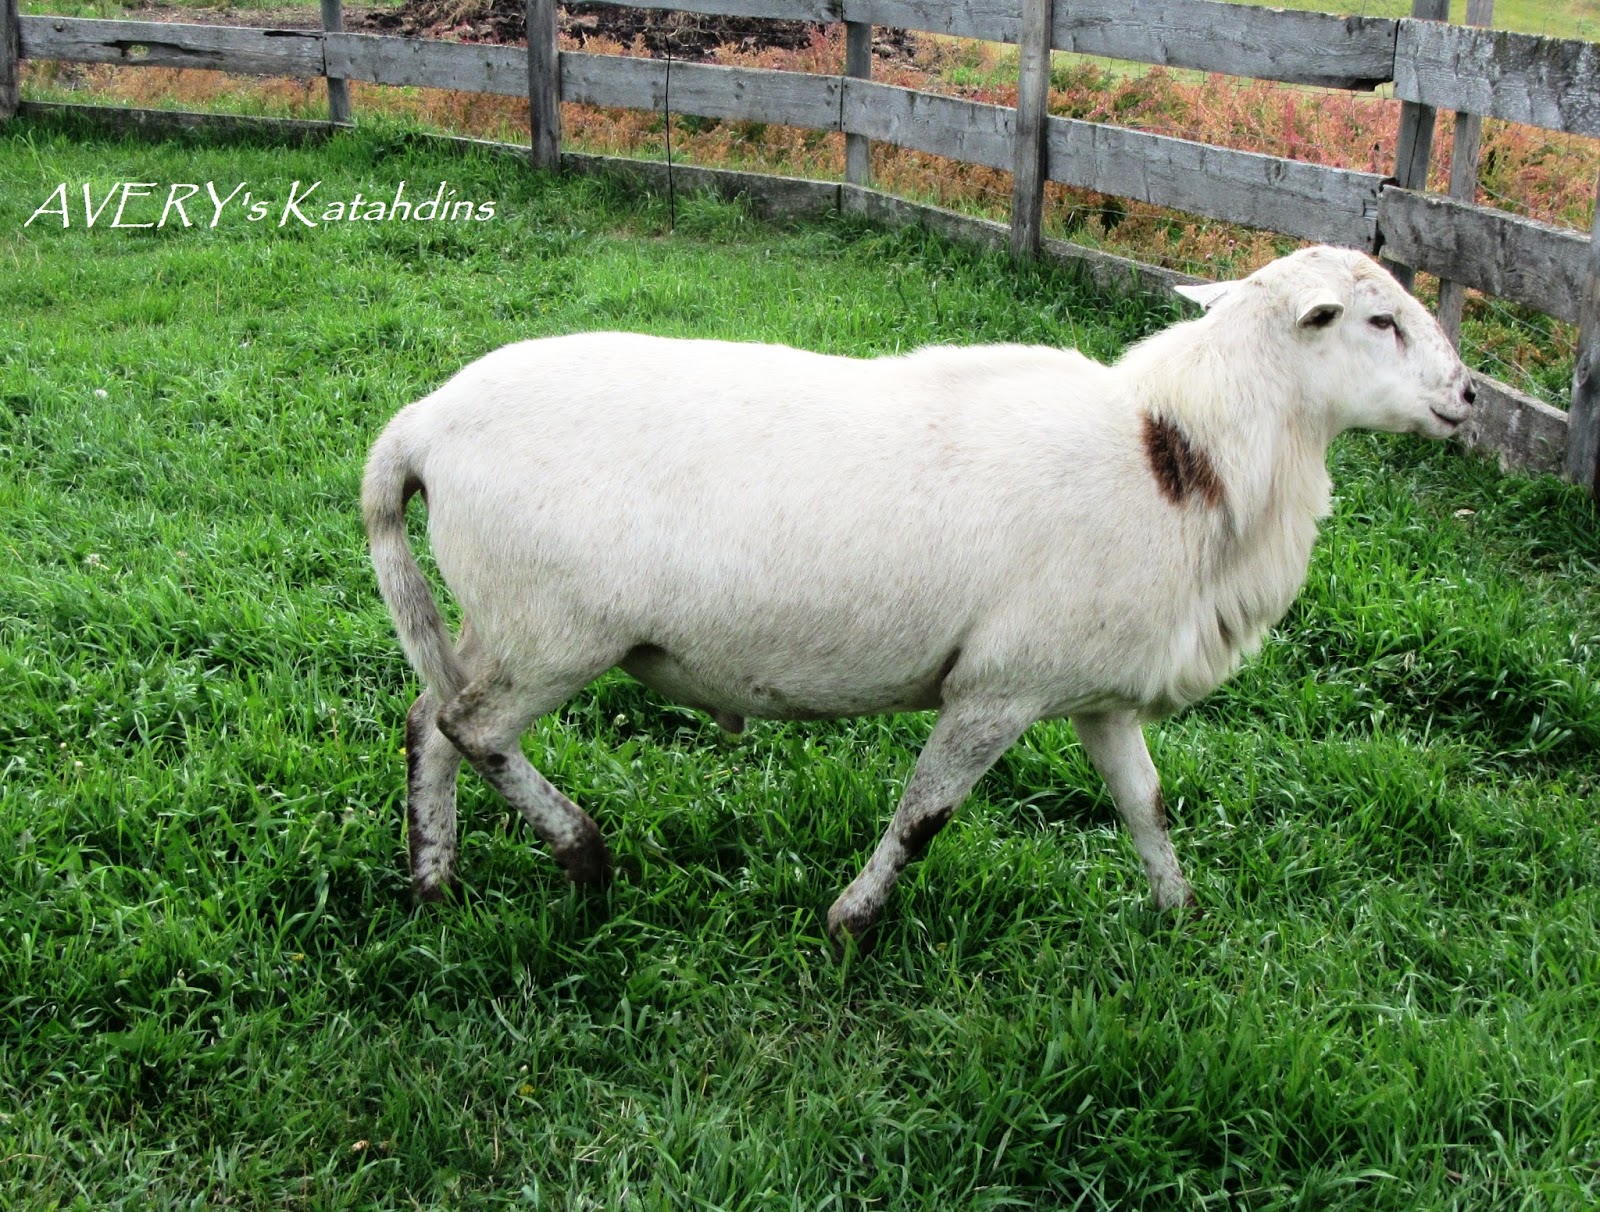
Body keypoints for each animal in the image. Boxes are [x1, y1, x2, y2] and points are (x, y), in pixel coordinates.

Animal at [362, 245, 1474, 946]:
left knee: (428, 722)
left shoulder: (1098, 692)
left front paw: (1182, 917)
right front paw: (850, 923)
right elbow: (924, 817)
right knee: (472, 727)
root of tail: (420, 426)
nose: (1469, 397)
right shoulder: (997, 689)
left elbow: (1146, 805)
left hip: (500, 620)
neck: (1181, 459)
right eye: (1379, 320)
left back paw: (433, 882)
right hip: (555, 630)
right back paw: (582, 856)